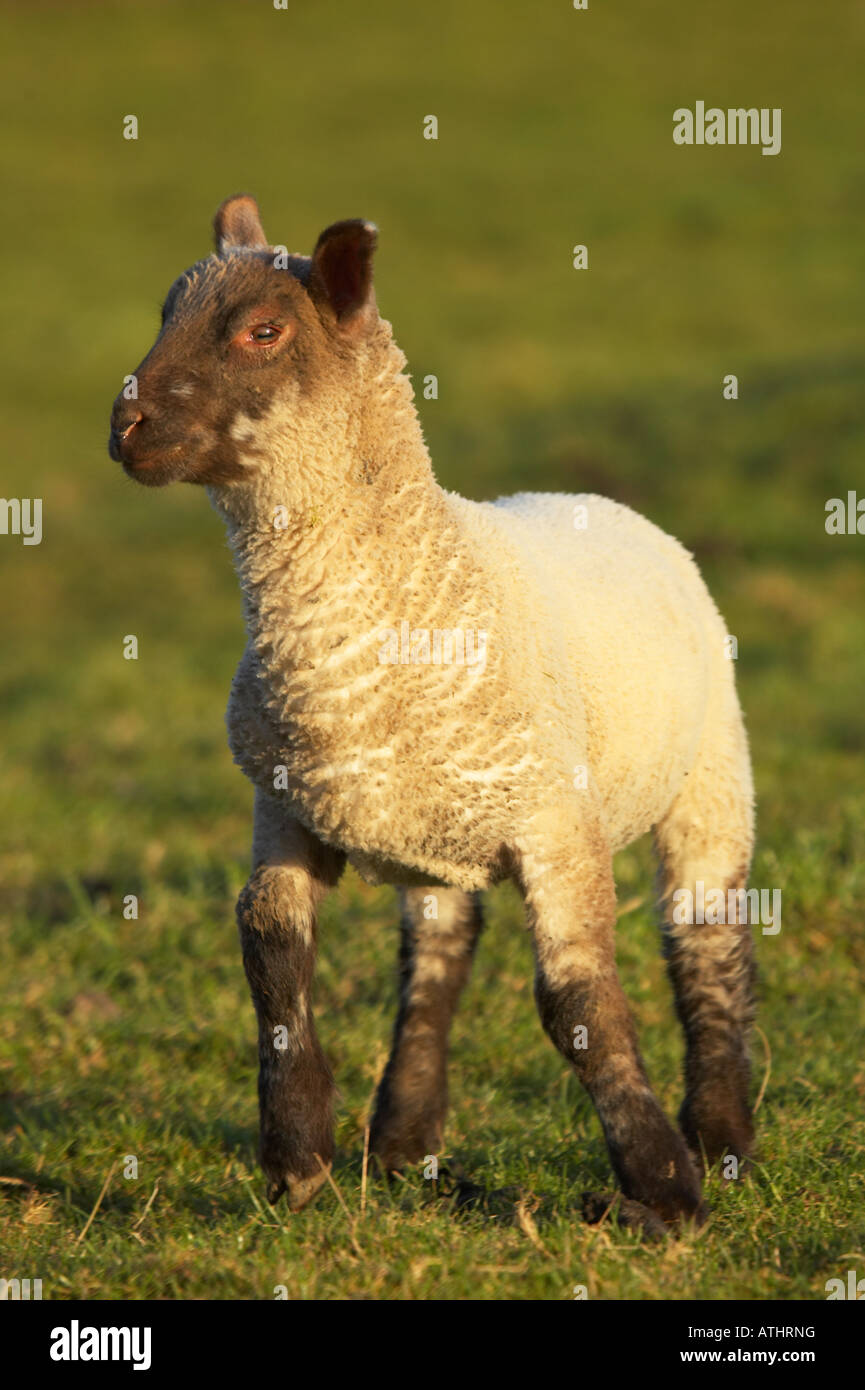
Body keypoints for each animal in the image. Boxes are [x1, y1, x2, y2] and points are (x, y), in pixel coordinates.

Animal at [108, 194, 757, 1234]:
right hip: (439, 827)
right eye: (166, 313)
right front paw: (298, 1162)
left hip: (709, 774)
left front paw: (664, 1188)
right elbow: (271, 957)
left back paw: (725, 1138)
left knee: (705, 935)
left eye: (263, 331)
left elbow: (579, 1004)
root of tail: (589, 496)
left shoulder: (555, 825)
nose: (125, 425)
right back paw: (406, 1139)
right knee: (440, 950)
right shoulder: (281, 804)